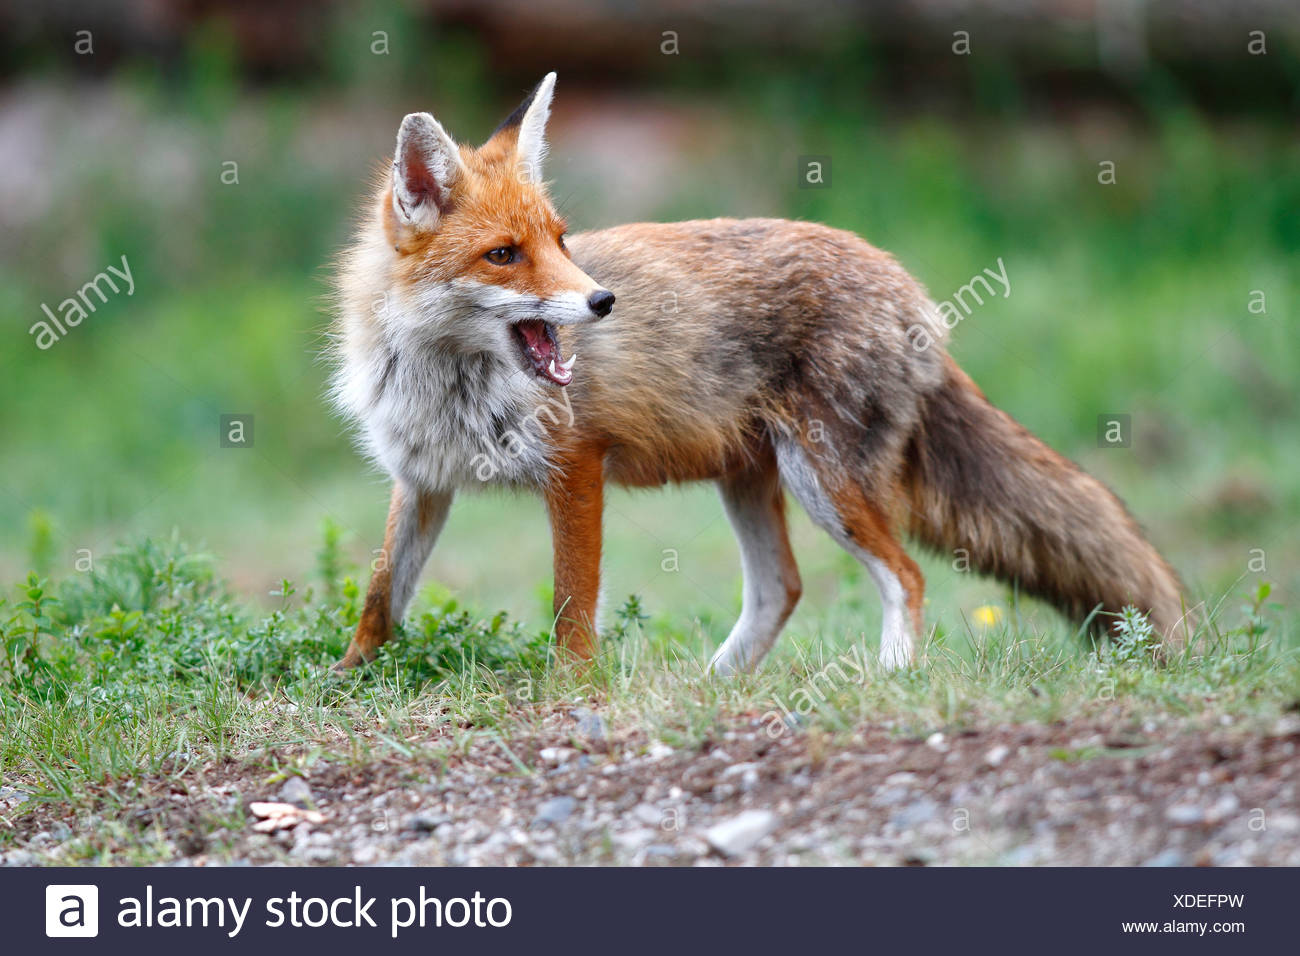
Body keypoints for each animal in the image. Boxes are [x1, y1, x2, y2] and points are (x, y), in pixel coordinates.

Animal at [329, 72, 1194, 675]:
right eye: (505, 253)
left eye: (561, 240)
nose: (603, 301)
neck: (444, 380)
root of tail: (909, 286)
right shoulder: (422, 479)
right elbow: (381, 592)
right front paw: (347, 676)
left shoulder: (575, 467)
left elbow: (572, 606)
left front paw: (570, 690)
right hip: (749, 476)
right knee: (784, 588)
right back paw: (714, 683)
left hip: (825, 482)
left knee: (906, 577)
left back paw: (890, 677)